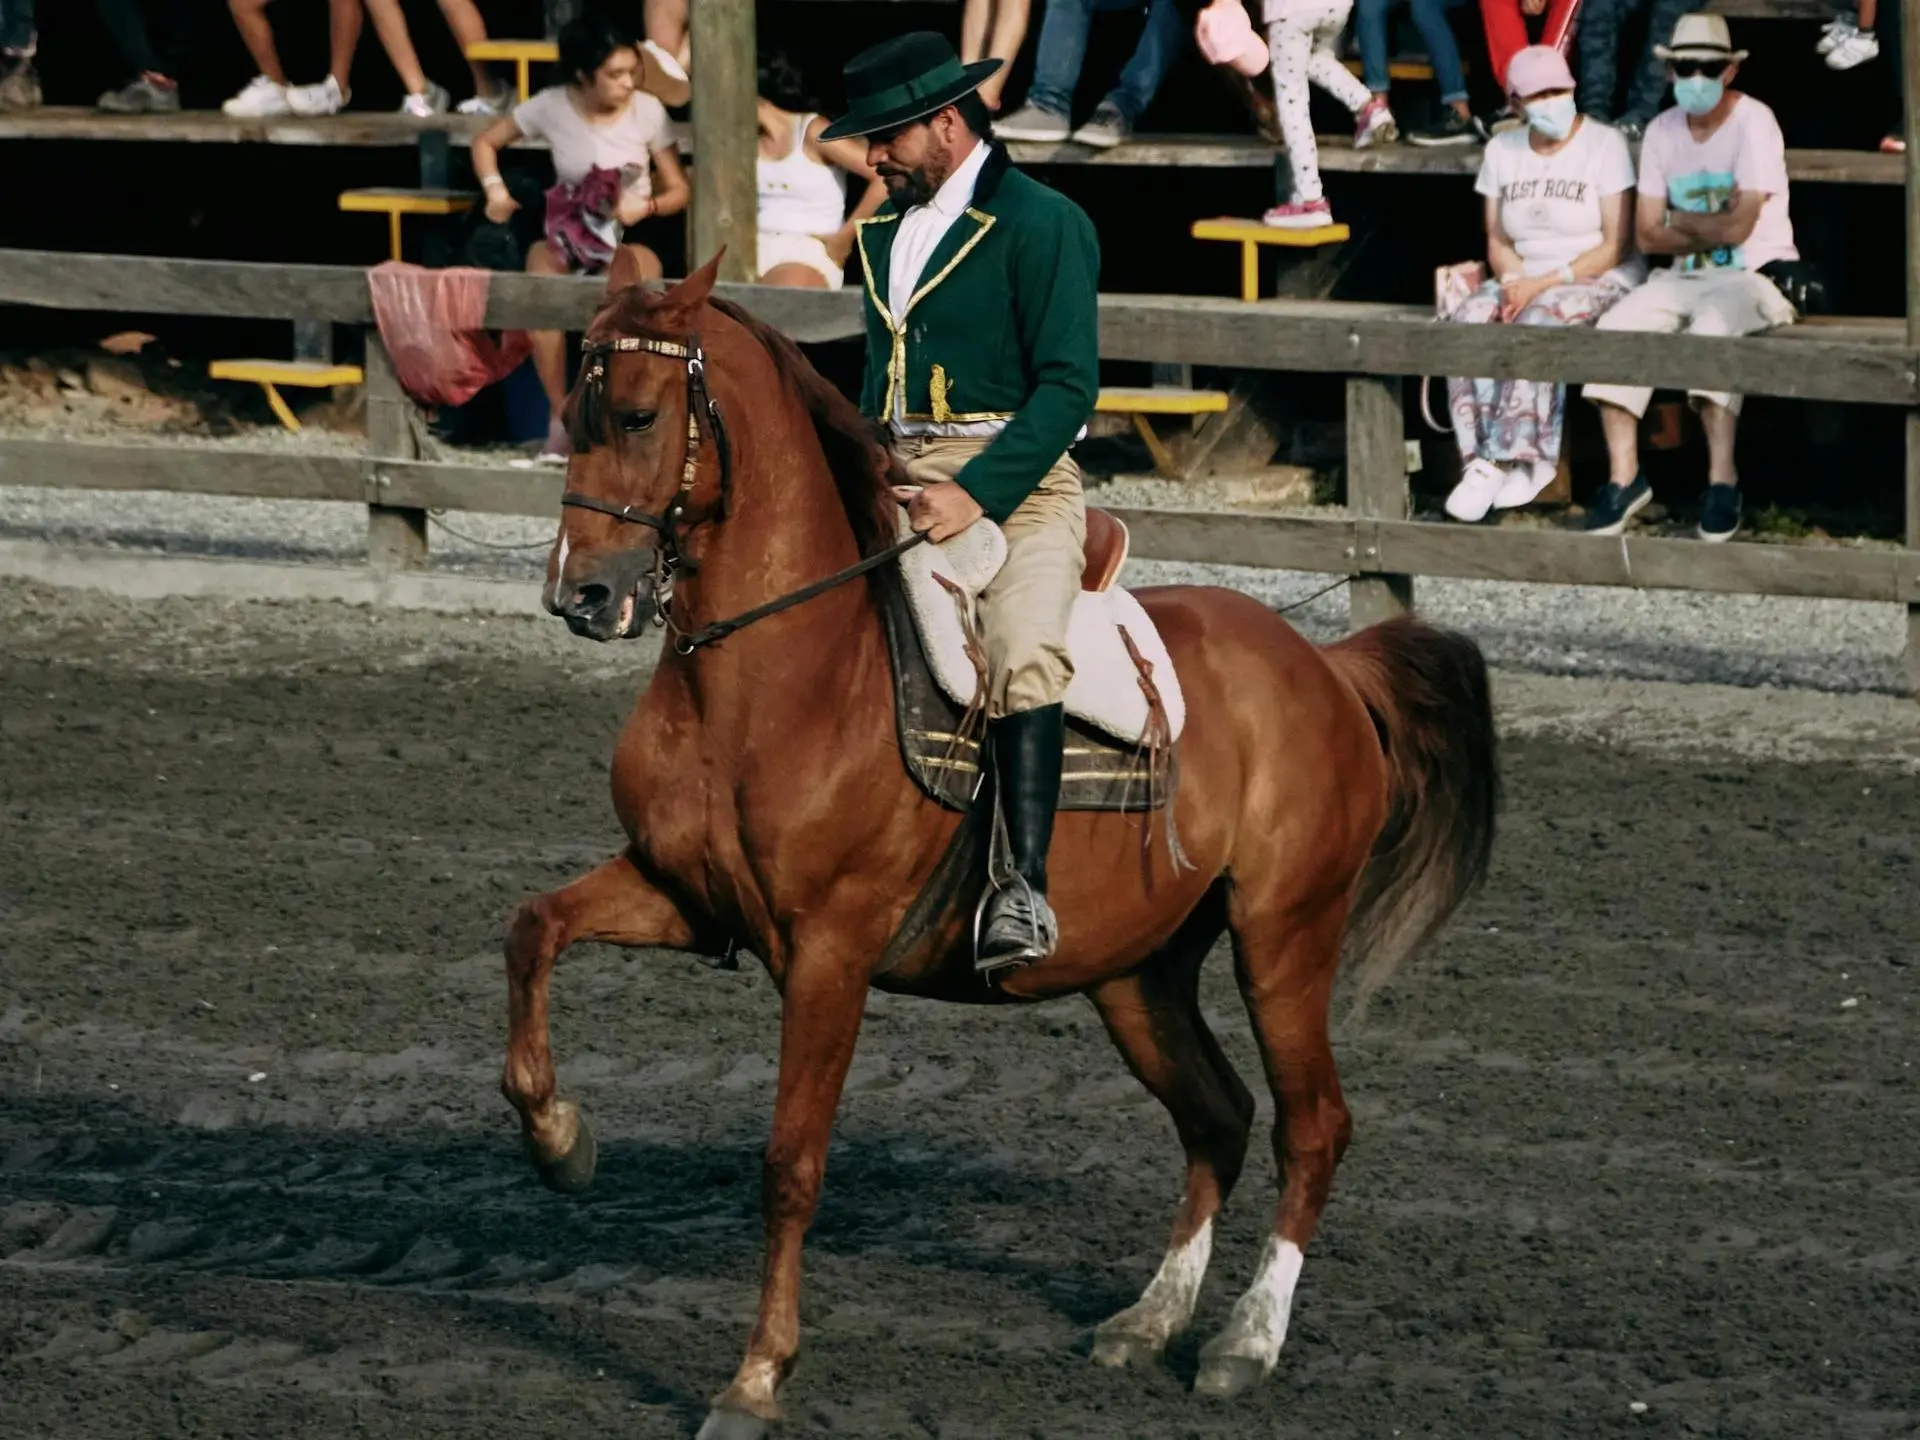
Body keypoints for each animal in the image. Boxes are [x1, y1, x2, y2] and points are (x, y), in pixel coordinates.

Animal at [503, 249, 1498, 1439]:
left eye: (642, 415)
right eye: (574, 413)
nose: (582, 593)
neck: (778, 671)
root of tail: (1326, 667)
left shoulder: (829, 955)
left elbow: (791, 1163)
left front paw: (755, 1378)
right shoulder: (682, 897)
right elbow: (533, 932)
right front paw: (560, 1143)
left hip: (1284, 941)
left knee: (1313, 1127)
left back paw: (1244, 1343)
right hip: (1137, 973)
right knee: (1218, 1118)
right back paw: (1147, 1321)